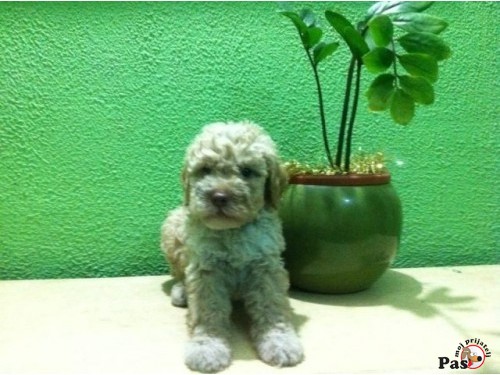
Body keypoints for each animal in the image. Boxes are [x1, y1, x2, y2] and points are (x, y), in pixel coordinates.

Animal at [162, 122, 302, 374]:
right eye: (205, 170)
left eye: (246, 171)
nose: (219, 197)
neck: (232, 230)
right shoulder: (206, 271)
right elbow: (207, 312)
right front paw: (208, 346)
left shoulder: (267, 267)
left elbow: (273, 307)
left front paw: (280, 341)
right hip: (171, 227)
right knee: (179, 274)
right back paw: (181, 291)